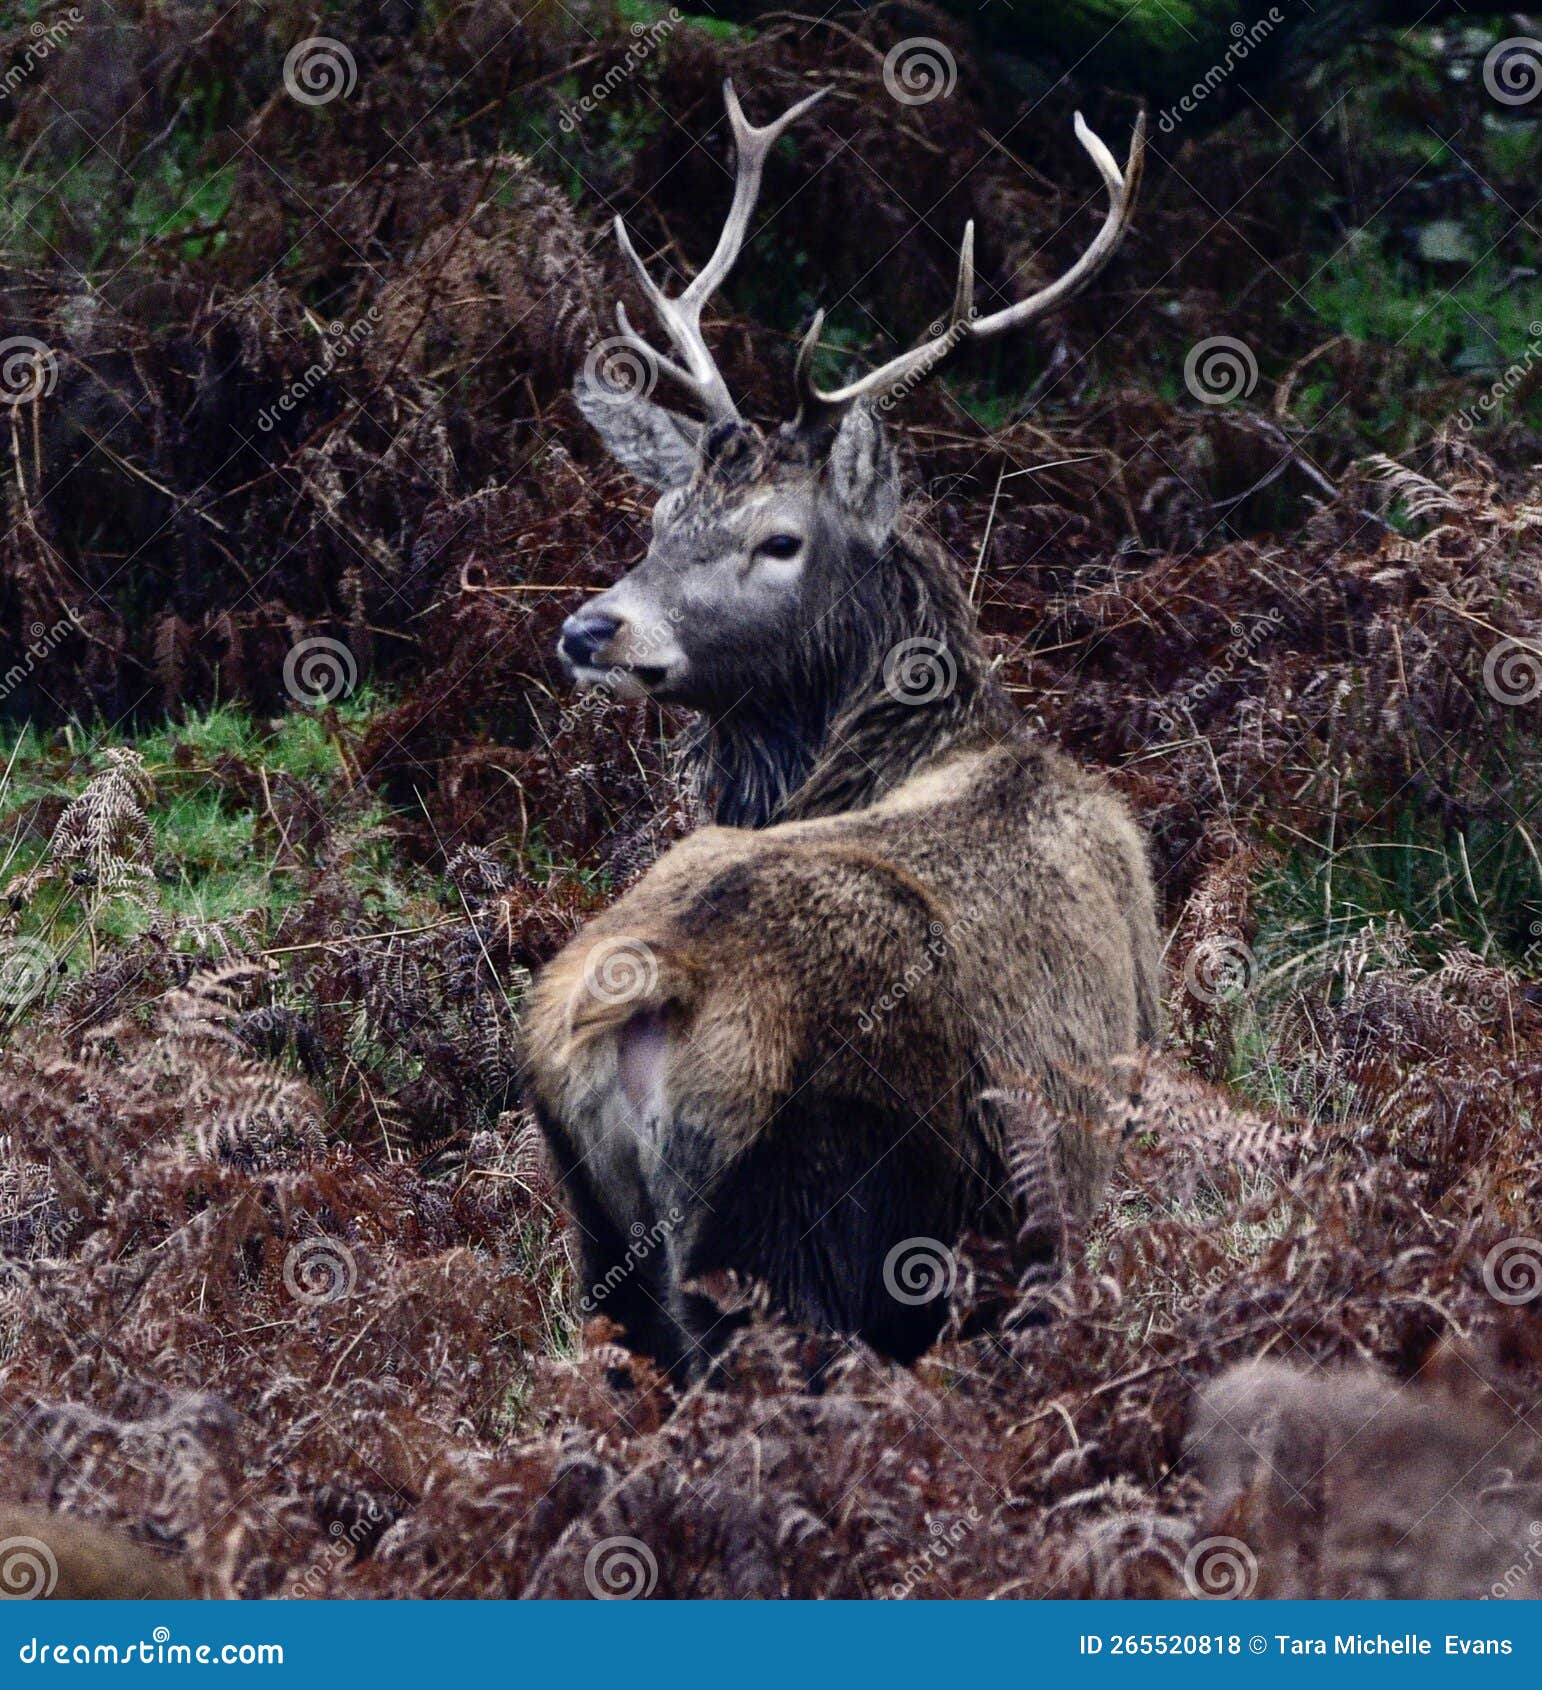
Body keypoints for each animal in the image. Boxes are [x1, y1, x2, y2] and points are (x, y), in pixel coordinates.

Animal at [523, 81, 1158, 1376]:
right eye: (659, 515)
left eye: (779, 539)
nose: (590, 627)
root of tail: (648, 996)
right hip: (813, 1230)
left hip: (599, 1238)